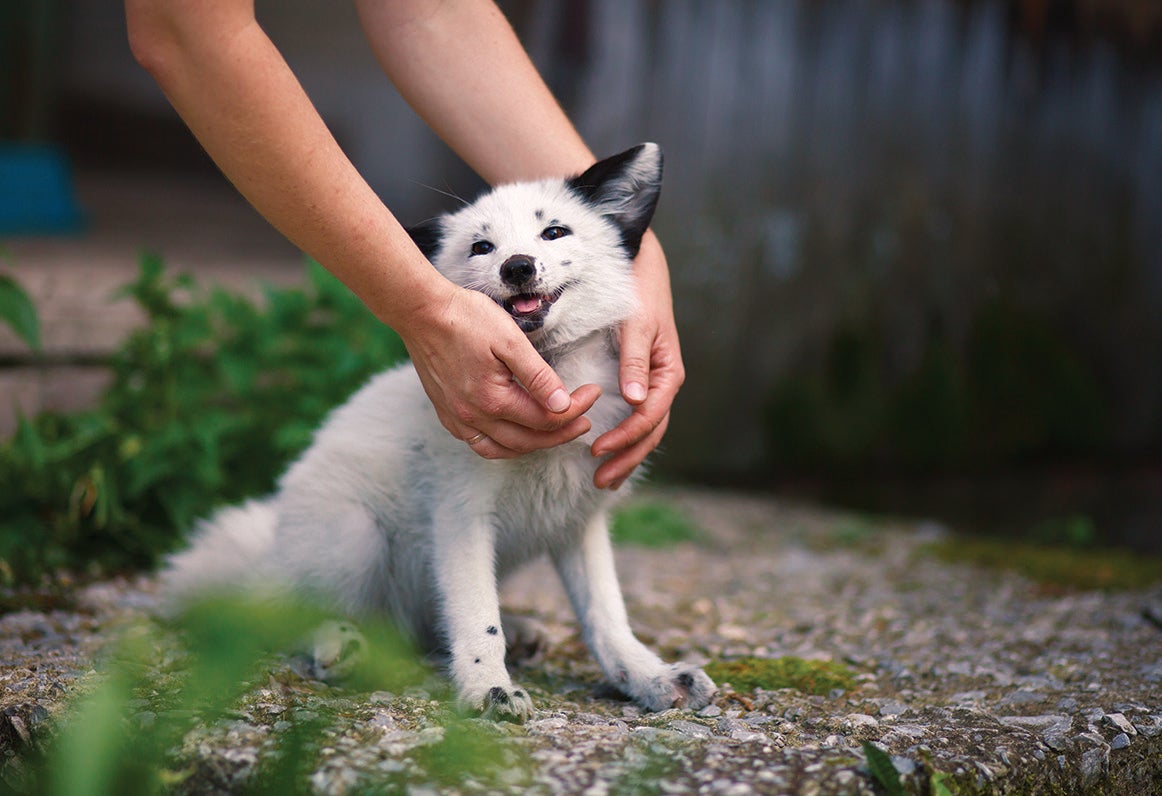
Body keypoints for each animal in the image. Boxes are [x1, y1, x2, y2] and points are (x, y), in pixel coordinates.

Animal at [161, 143, 716, 721]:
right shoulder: (461, 514)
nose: (518, 266)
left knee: (428, 622)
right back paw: (338, 643)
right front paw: (488, 689)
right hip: (354, 537)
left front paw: (649, 677)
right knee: (285, 617)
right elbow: (476, 619)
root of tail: (270, 555)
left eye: (554, 232)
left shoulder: (578, 521)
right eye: (481, 247)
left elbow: (606, 618)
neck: (551, 379)